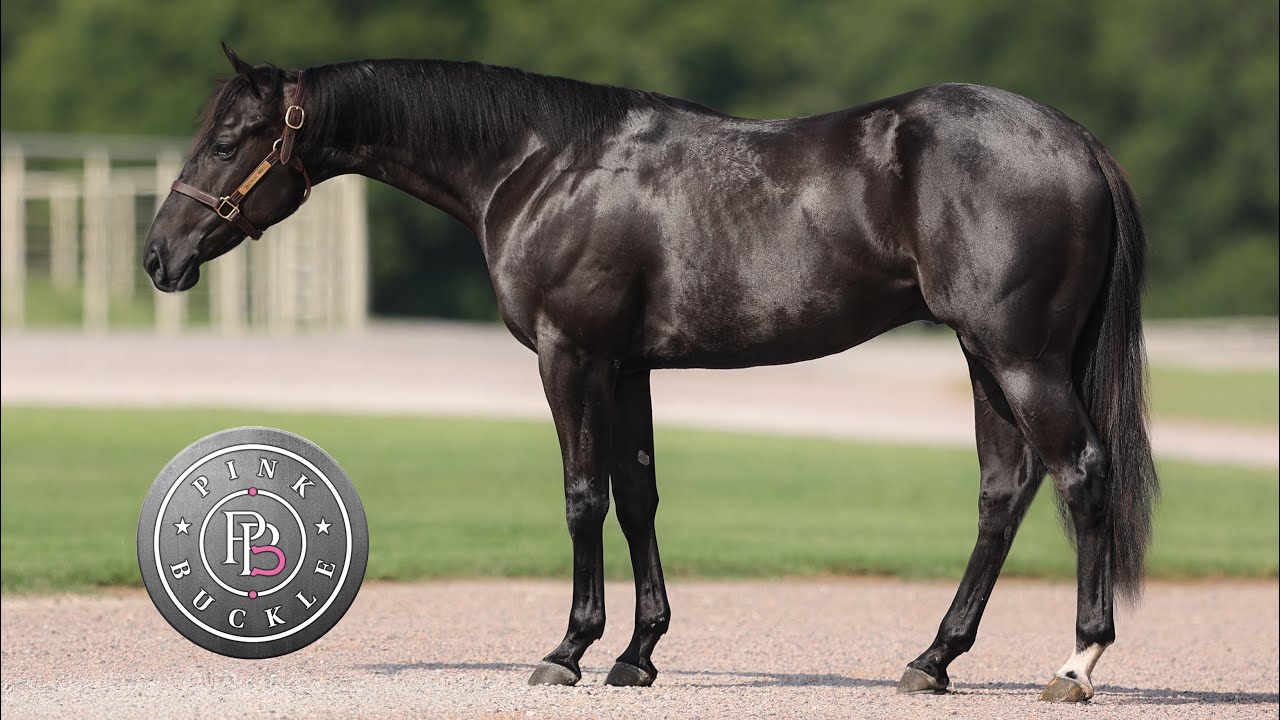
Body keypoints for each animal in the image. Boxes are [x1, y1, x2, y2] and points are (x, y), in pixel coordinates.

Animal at [144, 44, 1158, 702]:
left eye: (230, 139)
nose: (159, 257)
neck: (541, 164)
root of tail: (1075, 142)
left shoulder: (571, 356)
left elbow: (582, 495)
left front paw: (568, 649)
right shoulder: (627, 367)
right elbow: (638, 497)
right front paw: (638, 654)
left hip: (1018, 356)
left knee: (1079, 473)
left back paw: (1076, 665)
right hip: (986, 357)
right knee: (1003, 492)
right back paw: (932, 660)